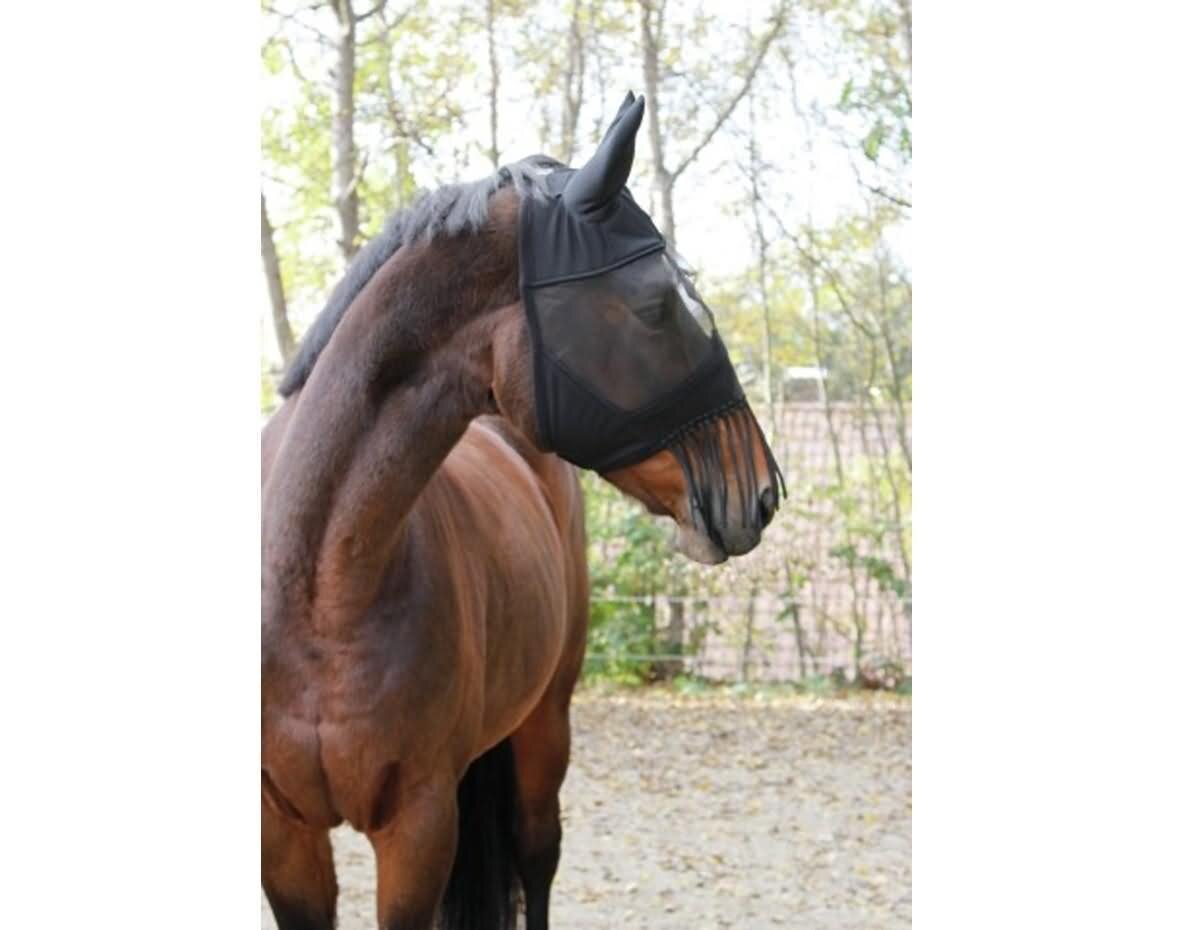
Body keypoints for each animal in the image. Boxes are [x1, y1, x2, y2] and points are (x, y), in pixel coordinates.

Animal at [261, 93, 783, 930]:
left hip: (547, 723)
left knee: (538, 857)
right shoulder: (284, 838)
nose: (762, 491)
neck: (319, 589)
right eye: (657, 305)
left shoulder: (418, 826)